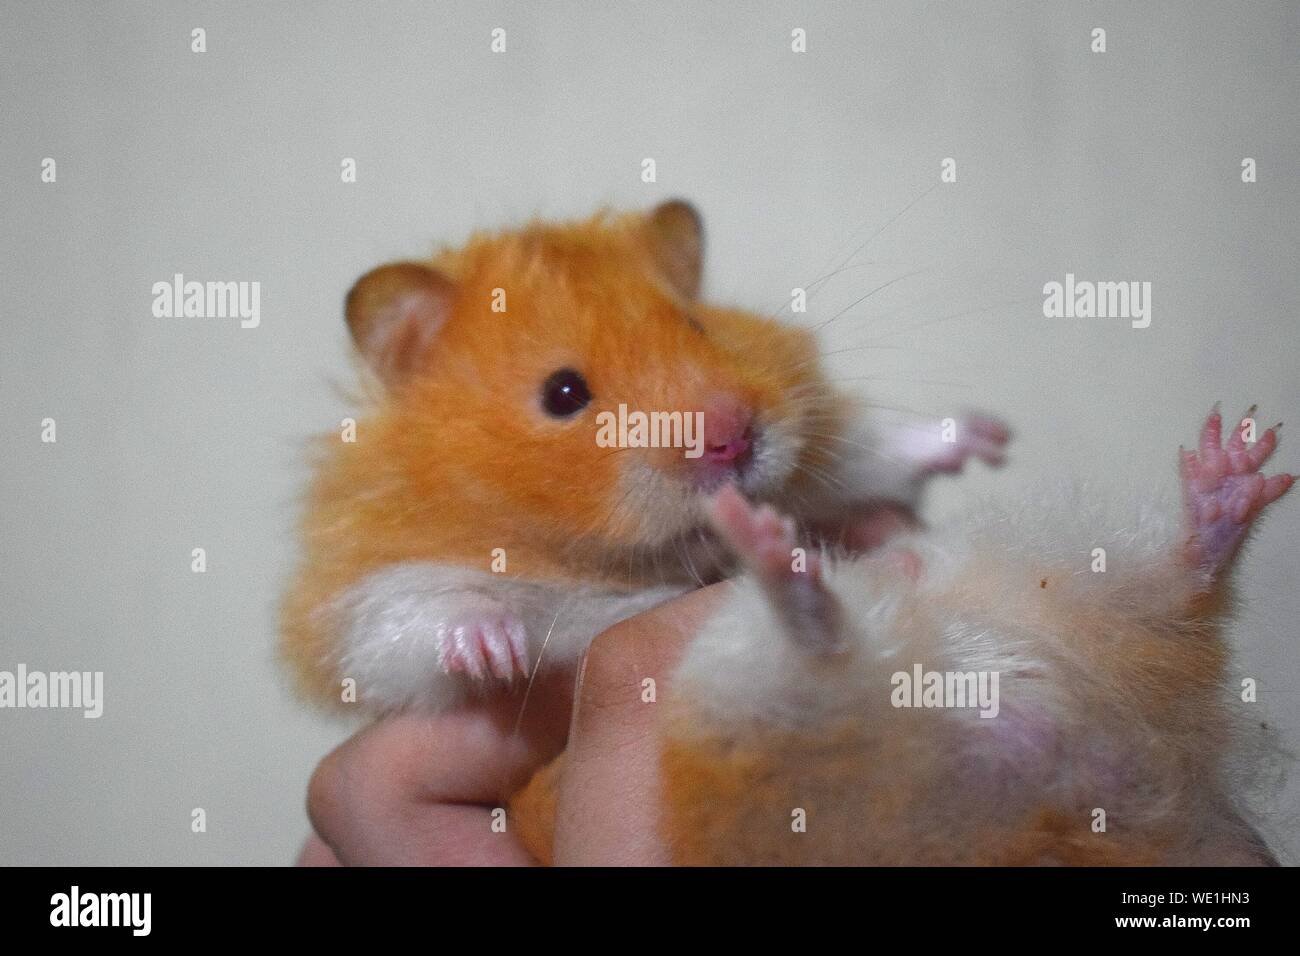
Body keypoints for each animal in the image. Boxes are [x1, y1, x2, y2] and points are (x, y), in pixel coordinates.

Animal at [281, 200, 1009, 714]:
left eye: (699, 327)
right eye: (563, 393)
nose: (732, 437)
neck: (634, 563)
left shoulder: (825, 454)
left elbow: (873, 450)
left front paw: (988, 436)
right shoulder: (359, 596)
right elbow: (414, 612)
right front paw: (496, 652)